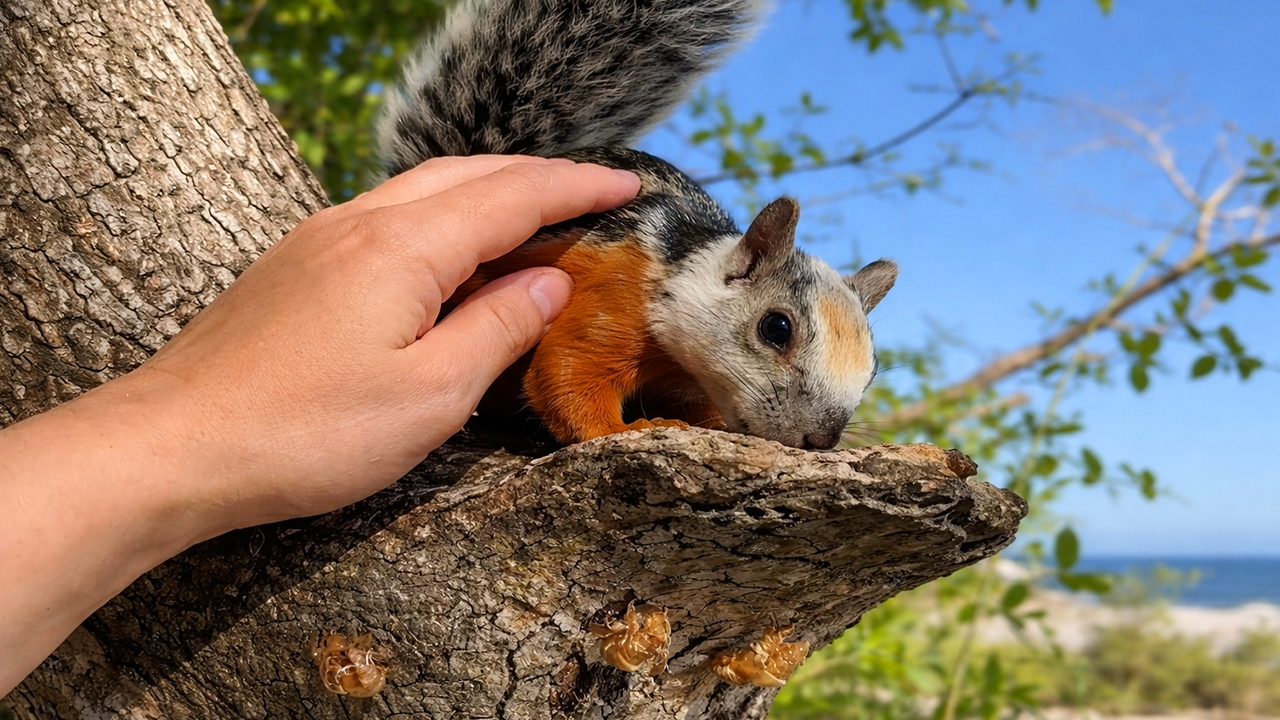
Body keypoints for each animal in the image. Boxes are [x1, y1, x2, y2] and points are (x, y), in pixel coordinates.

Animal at [378, 0, 898, 449]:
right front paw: (626, 429)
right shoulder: (611, 297)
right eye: (777, 328)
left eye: (873, 368)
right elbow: (565, 375)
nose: (821, 441)